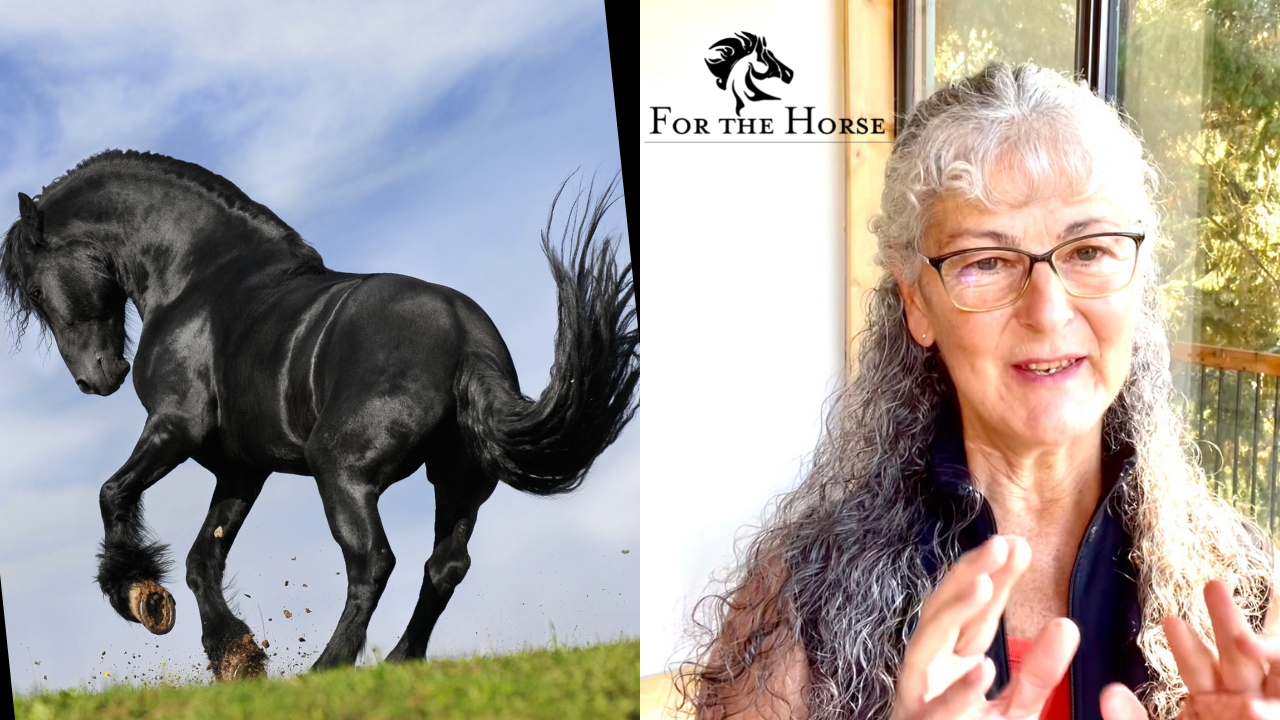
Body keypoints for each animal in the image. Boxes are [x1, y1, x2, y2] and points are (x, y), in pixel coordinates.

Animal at [0, 150, 639, 681]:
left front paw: (141, 597)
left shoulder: (174, 427)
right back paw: (402, 659)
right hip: (457, 483)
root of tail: (466, 336)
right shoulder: (241, 470)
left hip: (341, 473)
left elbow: (113, 494)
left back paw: (330, 665)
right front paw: (235, 656)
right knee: (444, 566)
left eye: (36, 289)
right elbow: (202, 558)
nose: (96, 378)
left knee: (373, 562)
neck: (197, 280)